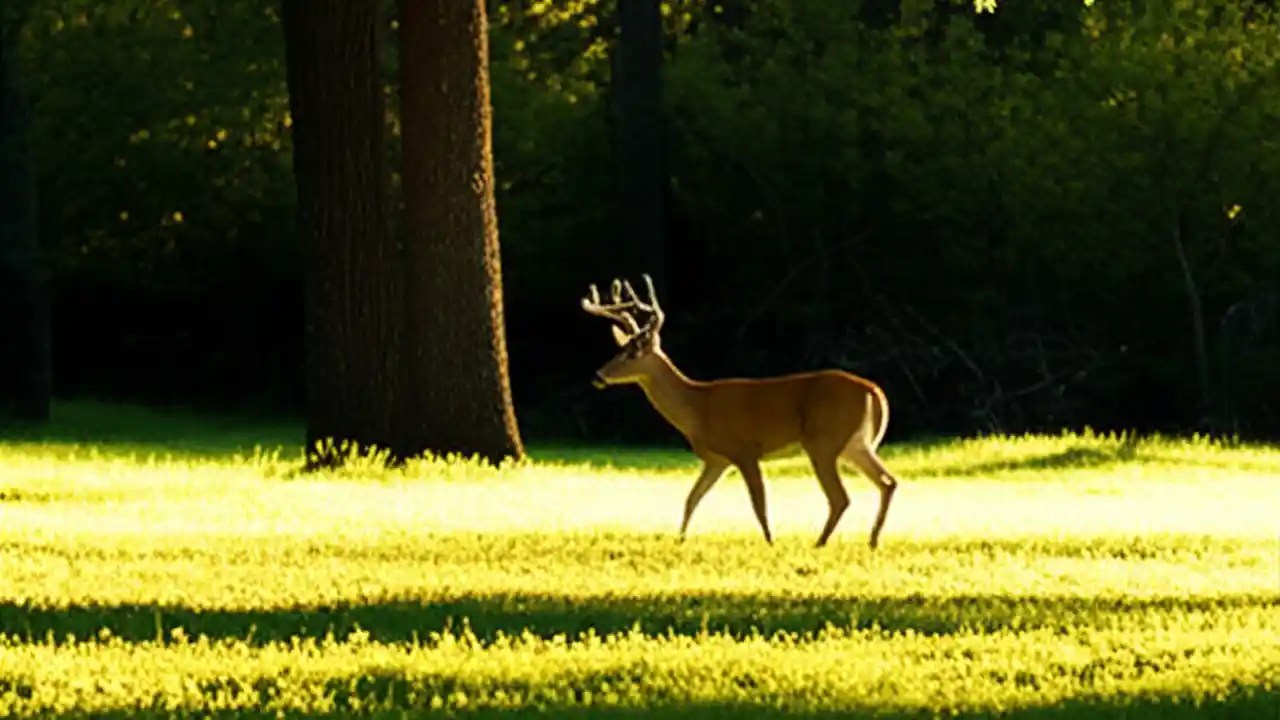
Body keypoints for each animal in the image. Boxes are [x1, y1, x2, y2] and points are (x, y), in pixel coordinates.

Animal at [581, 274, 901, 550]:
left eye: (632, 353)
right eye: (620, 349)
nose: (598, 375)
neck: (697, 407)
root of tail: (874, 391)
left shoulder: (744, 450)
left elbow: (758, 503)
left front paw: (771, 541)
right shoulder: (717, 460)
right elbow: (692, 498)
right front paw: (679, 539)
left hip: (824, 442)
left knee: (840, 497)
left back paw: (820, 543)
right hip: (856, 445)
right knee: (888, 482)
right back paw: (872, 540)